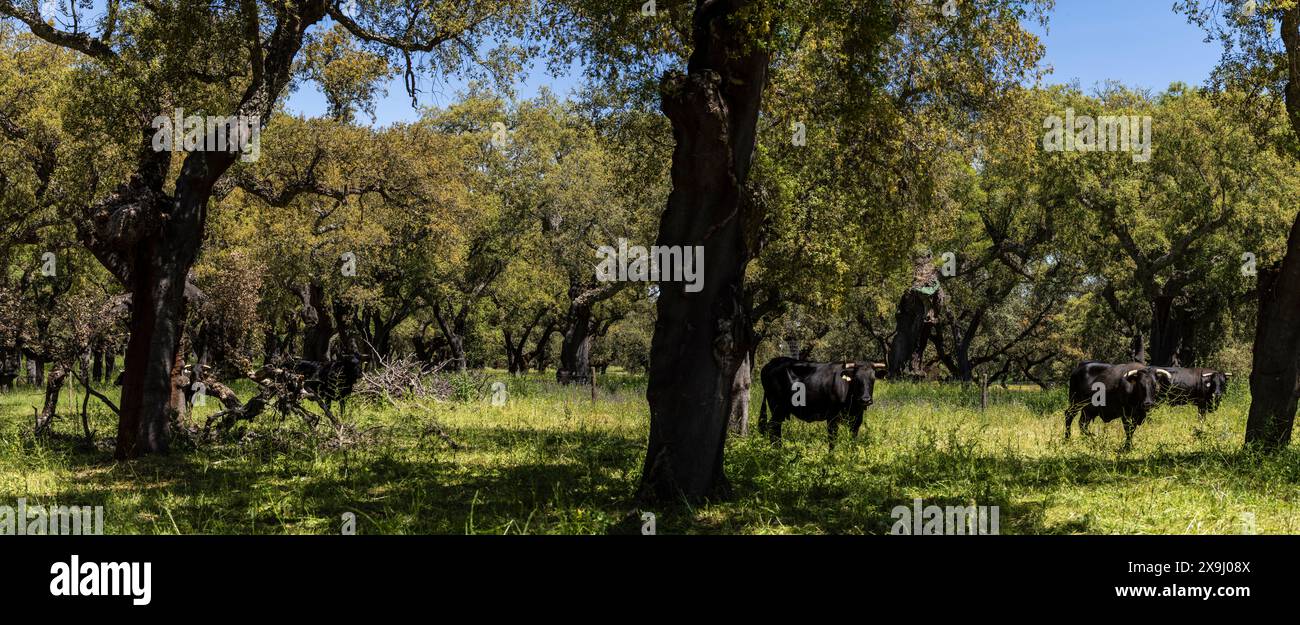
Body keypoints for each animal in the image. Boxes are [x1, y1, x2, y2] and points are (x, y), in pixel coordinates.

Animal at [757, 357, 887, 449]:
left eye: (873, 379)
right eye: (856, 379)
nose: (865, 399)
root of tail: (771, 363)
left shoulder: (856, 419)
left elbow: (853, 439)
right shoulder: (832, 417)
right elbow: (832, 440)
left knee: (775, 428)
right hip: (777, 407)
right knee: (772, 427)